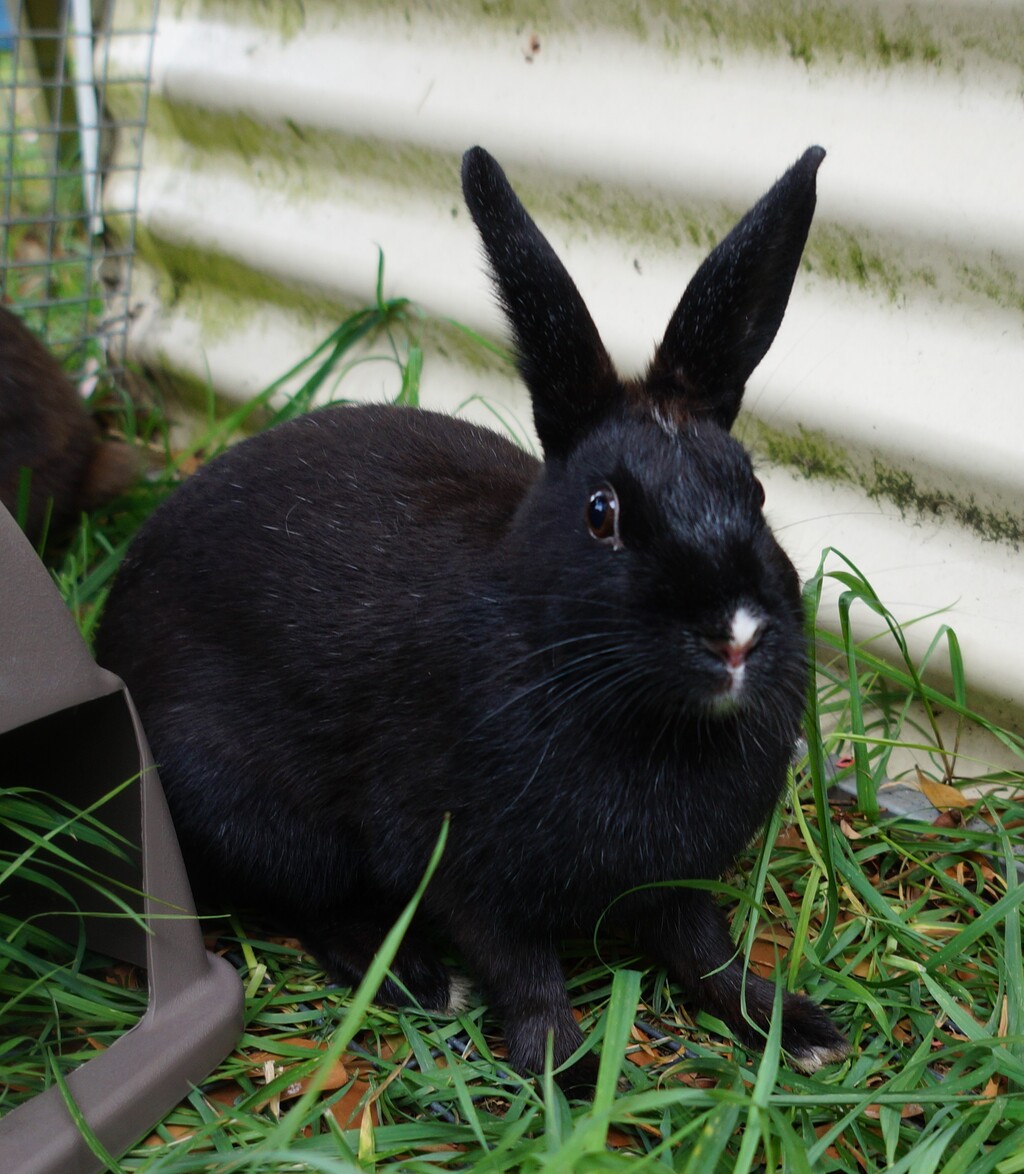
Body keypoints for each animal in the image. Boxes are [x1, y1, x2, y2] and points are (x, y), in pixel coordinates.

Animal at [95, 145, 849, 1091]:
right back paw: (416, 979)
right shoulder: (464, 870)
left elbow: (707, 956)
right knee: (301, 904)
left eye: (755, 494)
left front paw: (795, 1025)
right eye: (602, 513)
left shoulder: (674, 884)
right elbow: (522, 971)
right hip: (251, 815)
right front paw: (564, 1069)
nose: (737, 633)